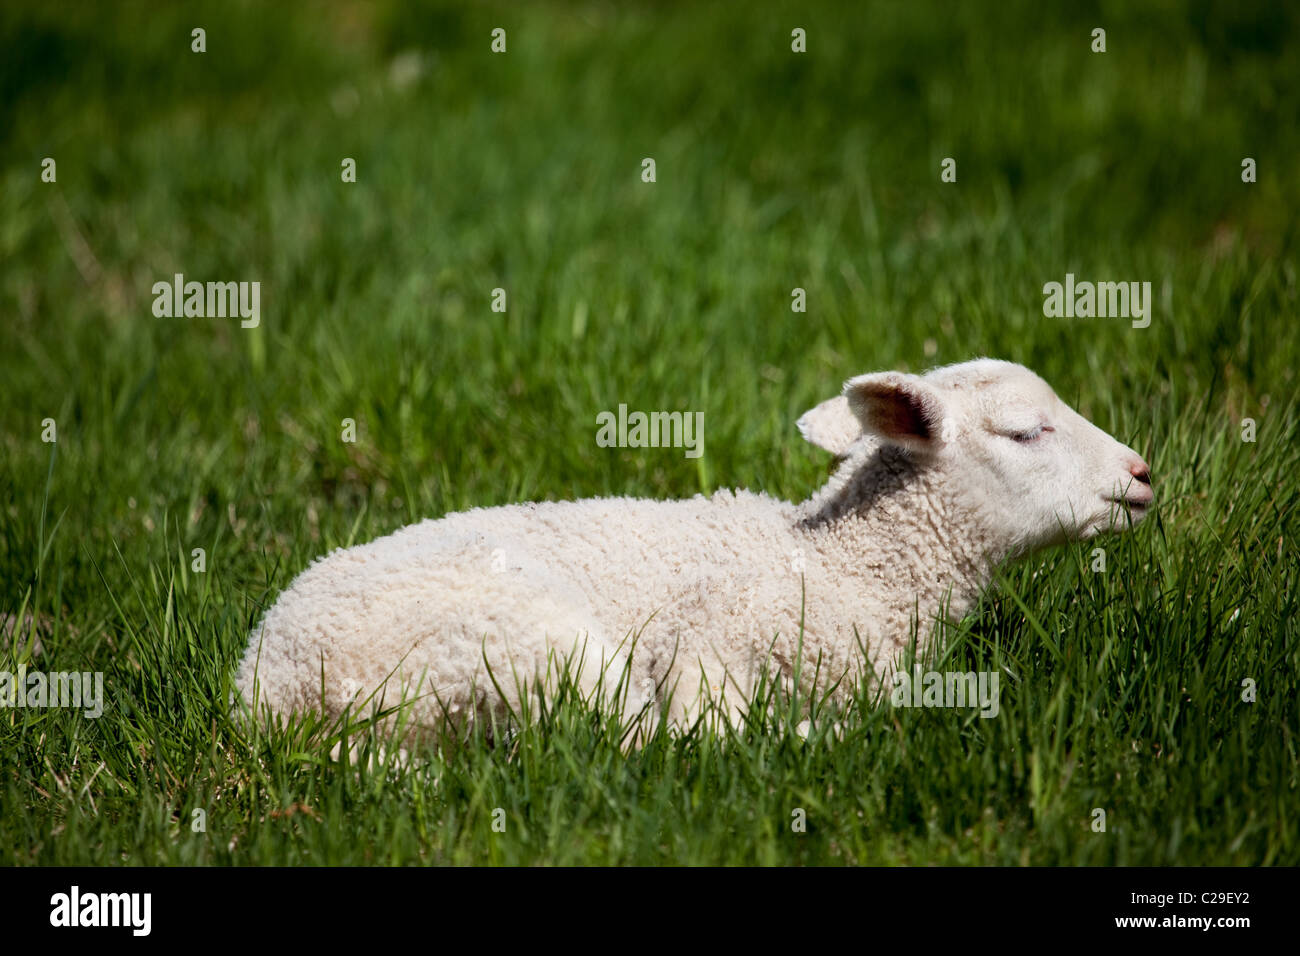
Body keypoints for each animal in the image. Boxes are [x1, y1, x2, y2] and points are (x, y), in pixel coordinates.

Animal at [234, 358, 1153, 743]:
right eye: (1026, 431)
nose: (1143, 475)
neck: (848, 564)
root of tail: (267, 690)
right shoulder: (710, 633)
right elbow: (703, 727)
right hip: (521, 646)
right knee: (643, 745)